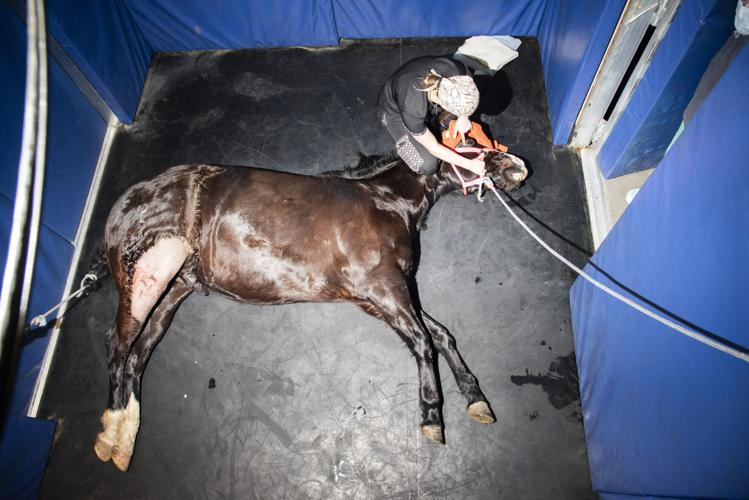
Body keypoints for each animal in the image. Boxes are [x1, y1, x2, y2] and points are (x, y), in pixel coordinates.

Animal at [93, 148, 528, 471]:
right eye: (466, 139)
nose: (517, 167)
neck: (385, 202)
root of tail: (122, 207)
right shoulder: (381, 287)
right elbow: (424, 341)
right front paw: (432, 418)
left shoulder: (378, 298)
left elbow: (441, 335)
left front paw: (475, 399)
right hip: (143, 283)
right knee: (118, 346)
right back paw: (110, 435)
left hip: (172, 287)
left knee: (137, 356)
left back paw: (124, 443)